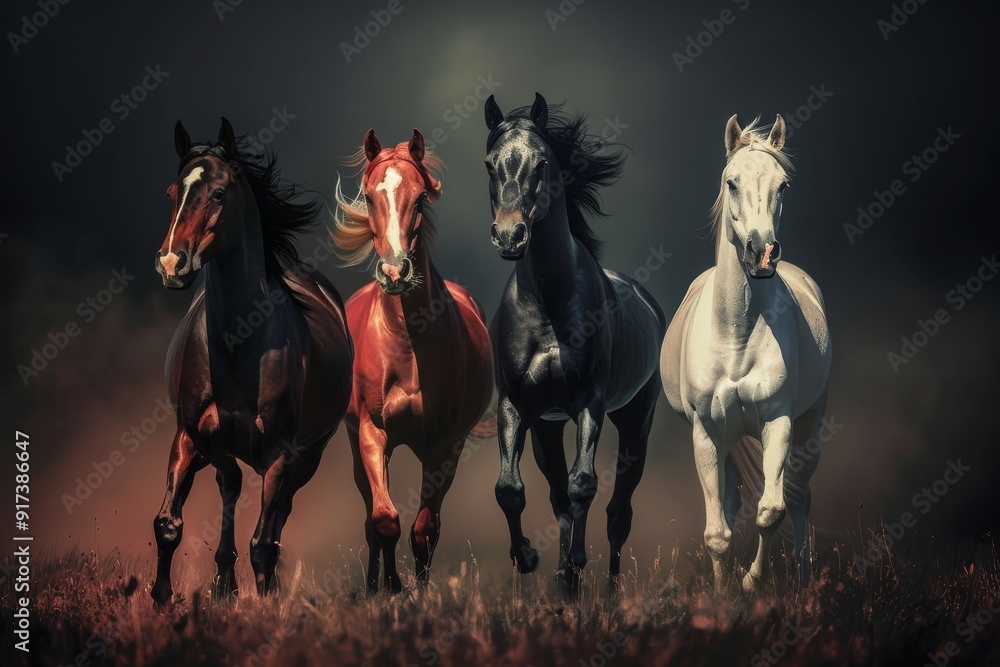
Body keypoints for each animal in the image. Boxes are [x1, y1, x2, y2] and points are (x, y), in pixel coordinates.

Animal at [151, 118, 353, 604]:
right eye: (171, 192)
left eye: (219, 193)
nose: (171, 263)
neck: (239, 346)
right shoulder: (190, 438)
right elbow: (168, 524)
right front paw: (162, 598)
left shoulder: (282, 454)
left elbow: (264, 542)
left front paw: (268, 602)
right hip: (224, 451)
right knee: (231, 487)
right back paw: (223, 582)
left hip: (307, 458)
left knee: (278, 517)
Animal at [331, 128, 494, 593]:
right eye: (369, 197)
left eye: (420, 199)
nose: (395, 272)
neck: (406, 343)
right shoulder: (372, 435)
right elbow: (384, 521)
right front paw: (390, 588)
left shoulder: (444, 444)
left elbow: (425, 530)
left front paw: (418, 594)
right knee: (371, 520)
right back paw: (374, 586)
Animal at [483, 93, 666, 596]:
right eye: (489, 164)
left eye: (542, 162)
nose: (509, 235)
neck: (548, 303)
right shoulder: (516, 405)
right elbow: (510, 490)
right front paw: (528, 557)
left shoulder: (590, 400)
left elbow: (584, 484)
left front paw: (573, 567)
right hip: (547, 428)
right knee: (558, 498)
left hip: (636, 421)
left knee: (618, 512)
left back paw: (605, 591)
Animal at [660, 115, 831, 591]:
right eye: (731, 182)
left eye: (783, 185)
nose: (763, 253)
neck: (735, 334)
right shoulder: (705, 432)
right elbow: (718, 532)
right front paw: (723, 597)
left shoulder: (778, 420)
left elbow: (771, 510)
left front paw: (752, 583)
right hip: (727, 440)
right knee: (732, 501)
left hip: (808, 424)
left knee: (798, 495)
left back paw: (801, 582)